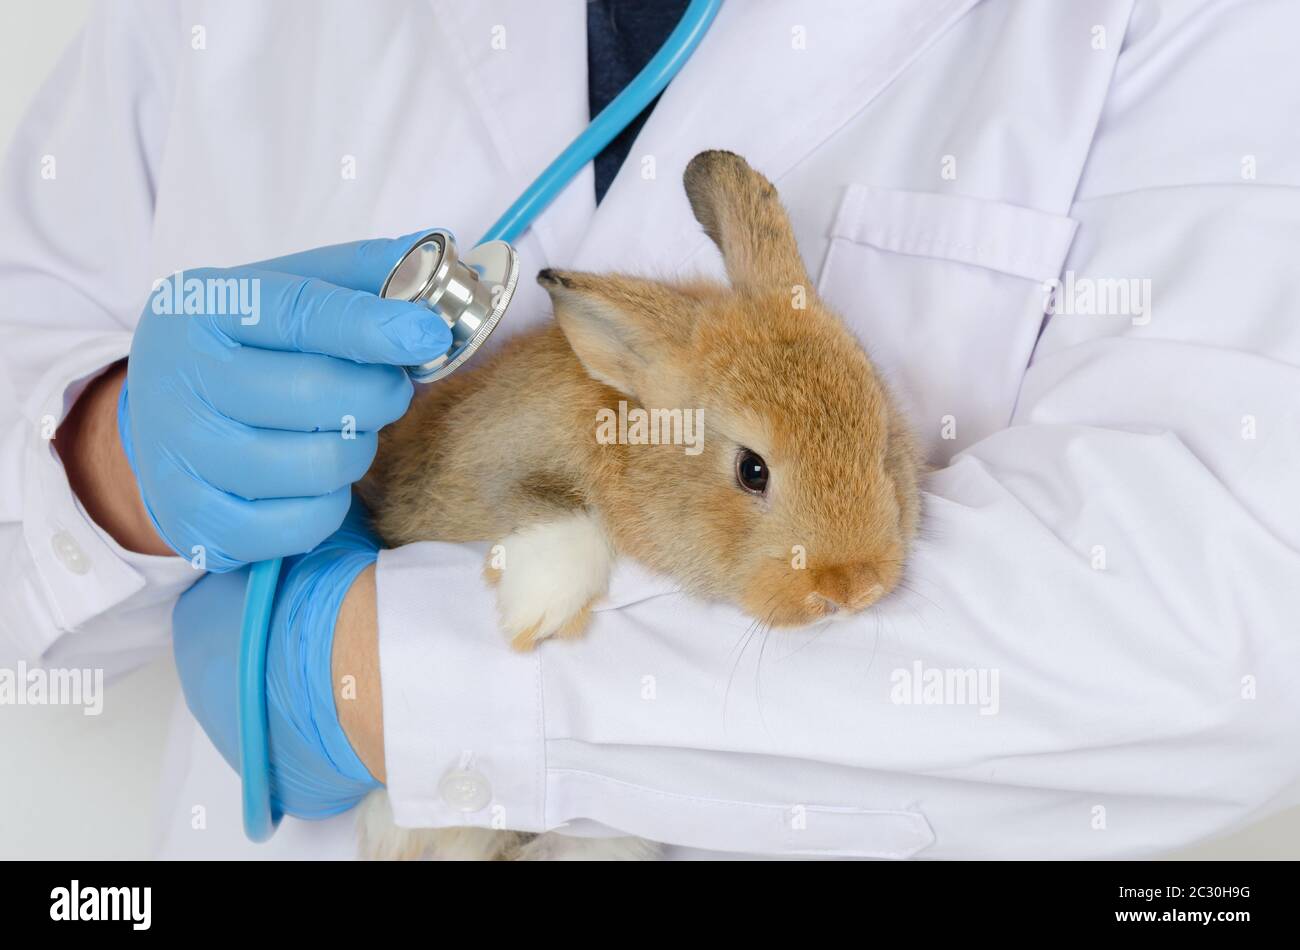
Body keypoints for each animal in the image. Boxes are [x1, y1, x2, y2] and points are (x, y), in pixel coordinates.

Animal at [354, 150, 922, 860]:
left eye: (881, 440)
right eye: (752, 470)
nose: (853, 588)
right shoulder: (482, 467)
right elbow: (558, 510)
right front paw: (537, 609)